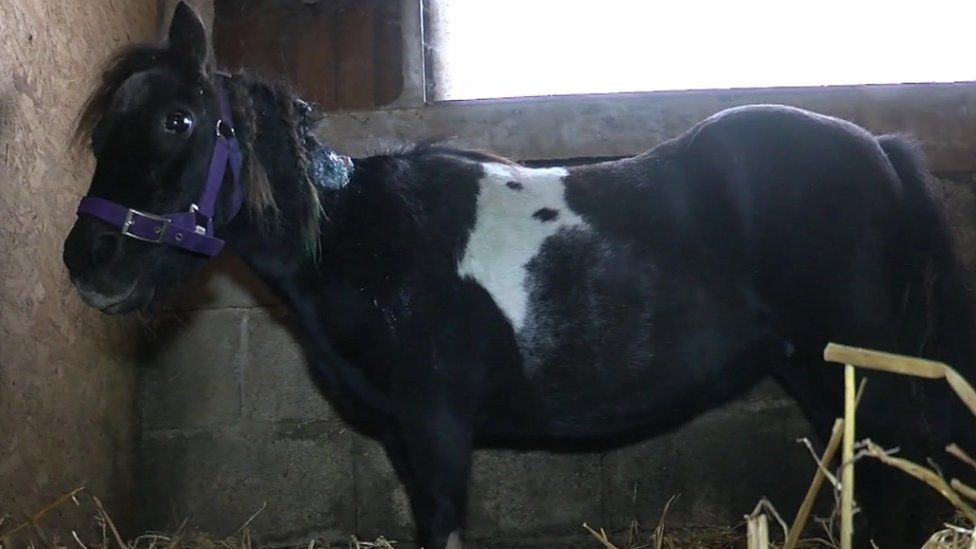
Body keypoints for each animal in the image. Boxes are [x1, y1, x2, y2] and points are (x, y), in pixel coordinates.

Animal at [63, 3, 976, 548]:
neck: (370, 244)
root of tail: (882, 150)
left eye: (178, 120)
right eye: (103, 129)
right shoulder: (403, 439)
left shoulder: (437, 432)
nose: (88, 262)